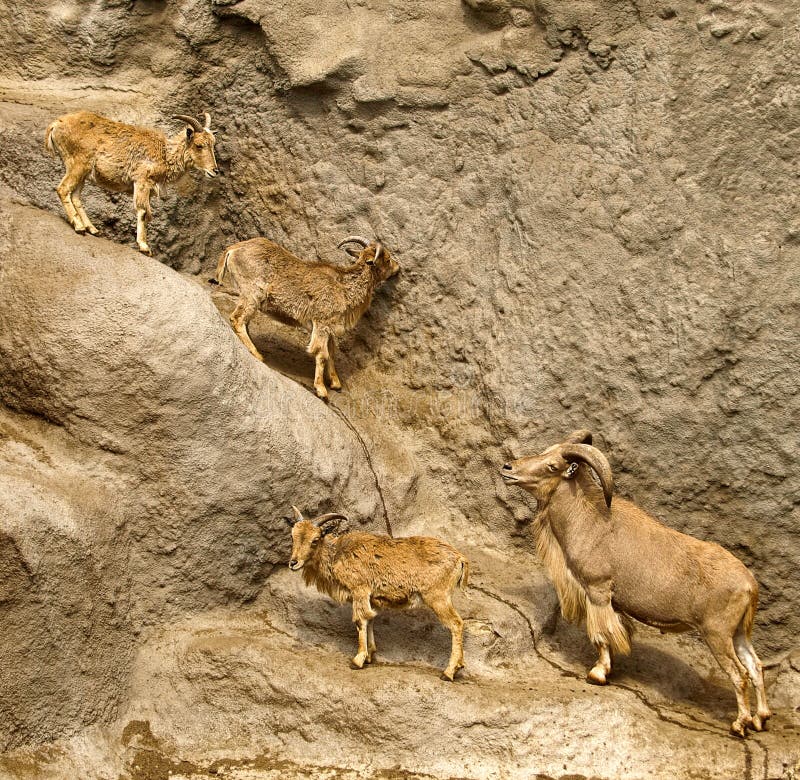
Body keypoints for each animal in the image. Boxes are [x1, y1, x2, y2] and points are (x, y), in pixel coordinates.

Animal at [44, 111, 219, 255]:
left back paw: (92, 229)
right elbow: (143, 211)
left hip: (84, 172)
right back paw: (79, 227)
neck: (164, 154)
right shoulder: (142, 181)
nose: (215, 171)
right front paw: (144, 247)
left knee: (75, 196)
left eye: (212, 144)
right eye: (199, 145)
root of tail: (55, 125)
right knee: (63, 189)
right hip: (77, 164)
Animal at [212, 235, 399, 399]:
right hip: (252, 294)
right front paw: (321, 390)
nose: (398, 268)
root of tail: (233, 249)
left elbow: (332, 353)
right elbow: (321, 353)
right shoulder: (322, 323)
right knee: (237, 319)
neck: (344, 287)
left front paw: (336, 383)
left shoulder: (330, 328)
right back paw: (257, 354)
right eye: (387, 259)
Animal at [286, 506, 468, 680]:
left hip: (438, 597)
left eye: (315, 540)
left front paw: (358, 660)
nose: (293, 563)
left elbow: (360, 620)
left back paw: (449, 672)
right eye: (293, 537)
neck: (337, 554)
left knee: (456, 624)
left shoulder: (359, 590)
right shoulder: (370, 598)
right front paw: (369, 656)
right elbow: (371, 619)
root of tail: (460, 559)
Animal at [501, 430, 771, 737]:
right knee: (756, 665)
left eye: (552, 466)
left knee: (739, 673)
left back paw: (740, 724)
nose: (508, 468)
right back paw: (761, 718)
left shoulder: (597, 589)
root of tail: (750, 585)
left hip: (717, 633)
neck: (589, 519)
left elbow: (601, 635)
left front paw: (597, 674)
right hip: (738, 632)